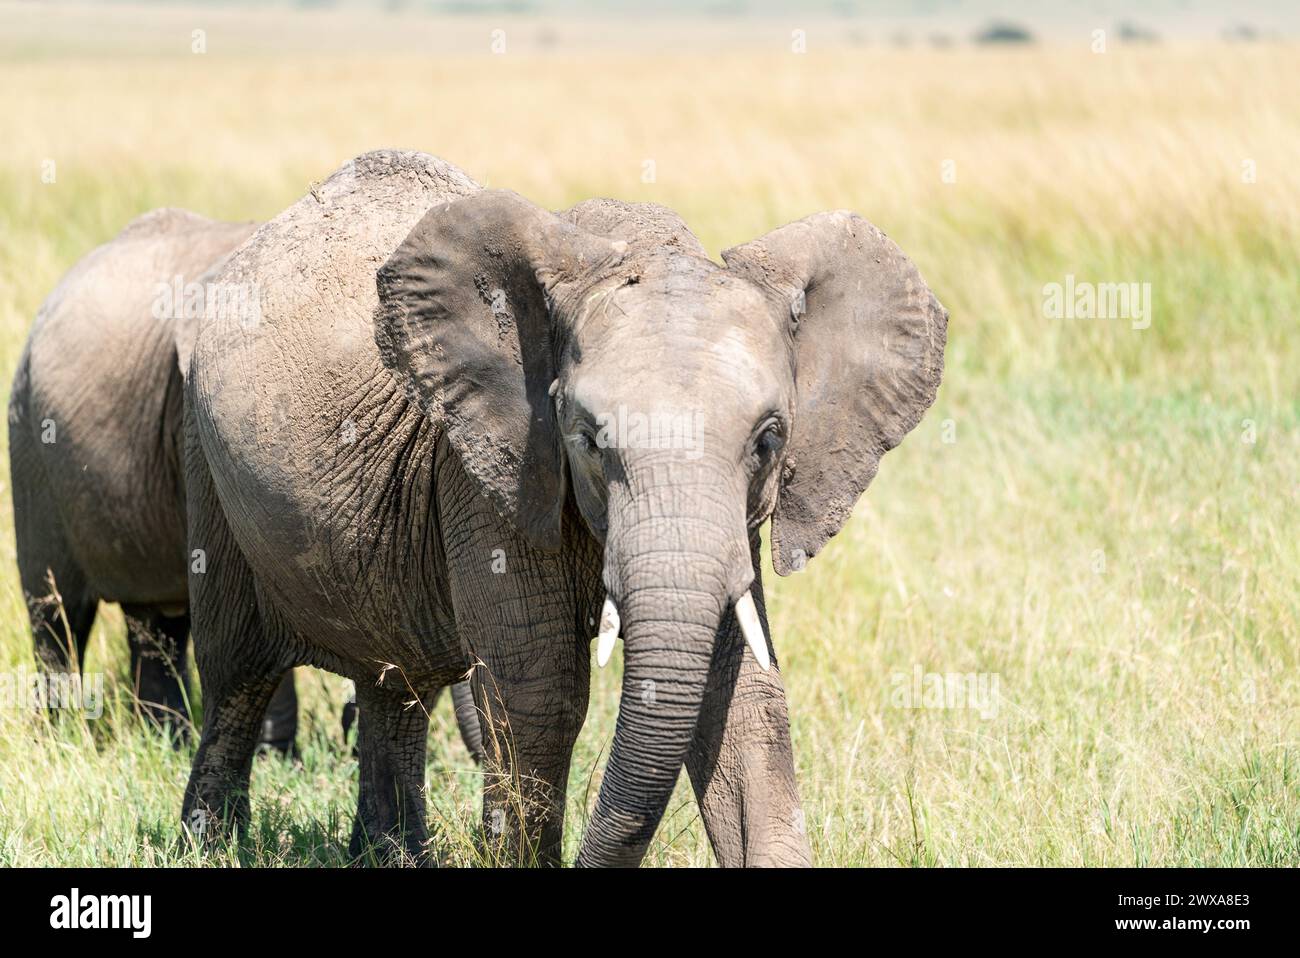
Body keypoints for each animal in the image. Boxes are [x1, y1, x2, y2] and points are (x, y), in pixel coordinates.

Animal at [178, 150, 946, 866]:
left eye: (769, 439)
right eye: (587, 438)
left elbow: (742, 702)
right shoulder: (495, 469)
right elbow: (541, 690)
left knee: (394, 683)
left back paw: (389, 853)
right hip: (202, 458)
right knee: (237, 673)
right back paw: (208, 845)